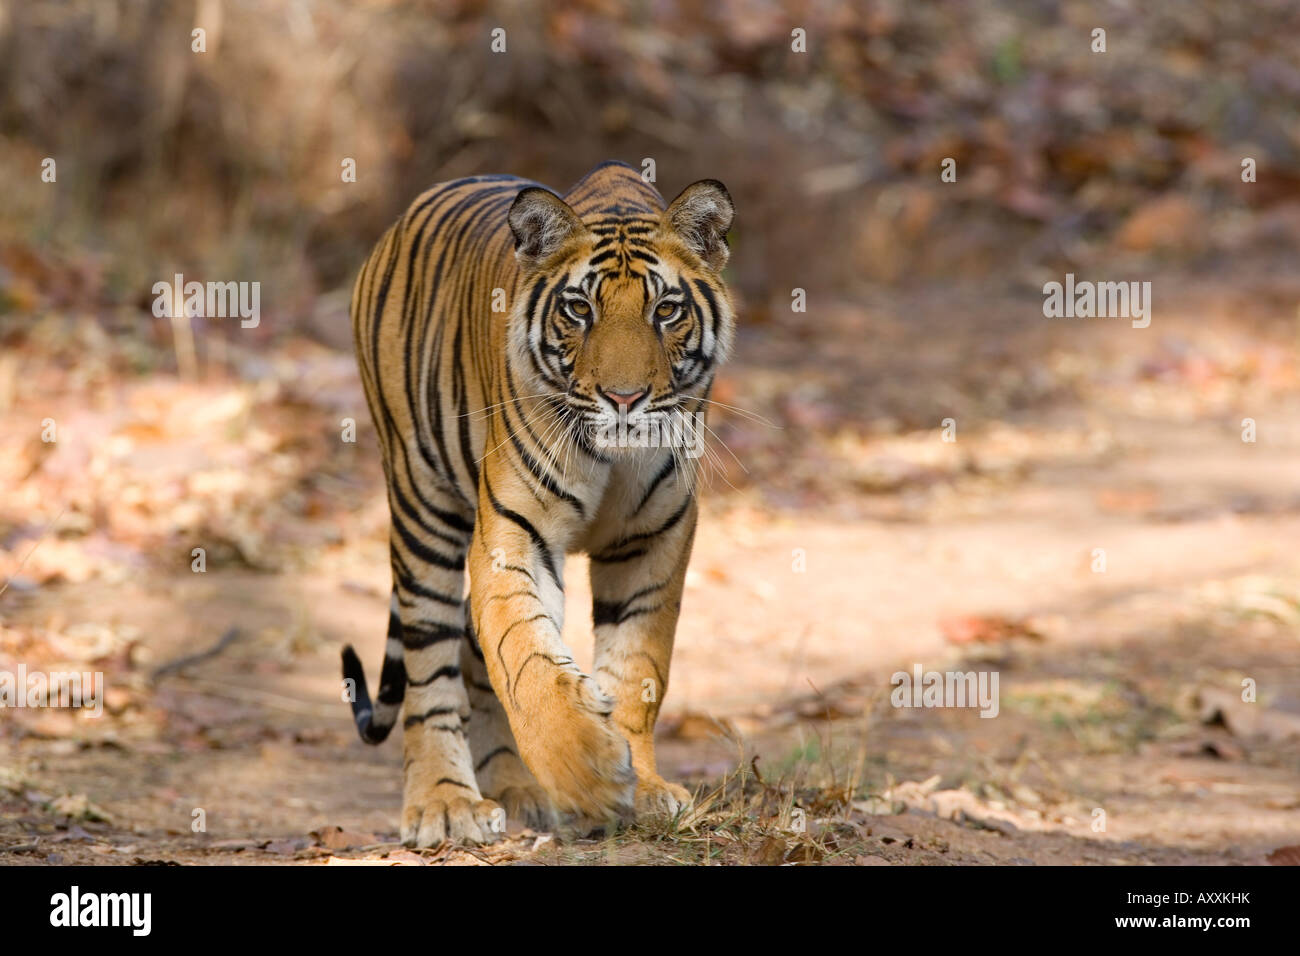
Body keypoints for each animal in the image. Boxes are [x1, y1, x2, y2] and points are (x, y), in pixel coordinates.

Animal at [341, 160, 736, 846]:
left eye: (665, 310)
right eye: (579, 309)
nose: (624, 399)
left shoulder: (656, 537)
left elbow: (637, 669)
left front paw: (643, 787)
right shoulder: (512, 535)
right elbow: (525, 658)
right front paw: (590, 772)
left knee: (473, 660)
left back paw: (516, 789)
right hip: (422, 510)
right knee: (431, 671)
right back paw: (447, 803)